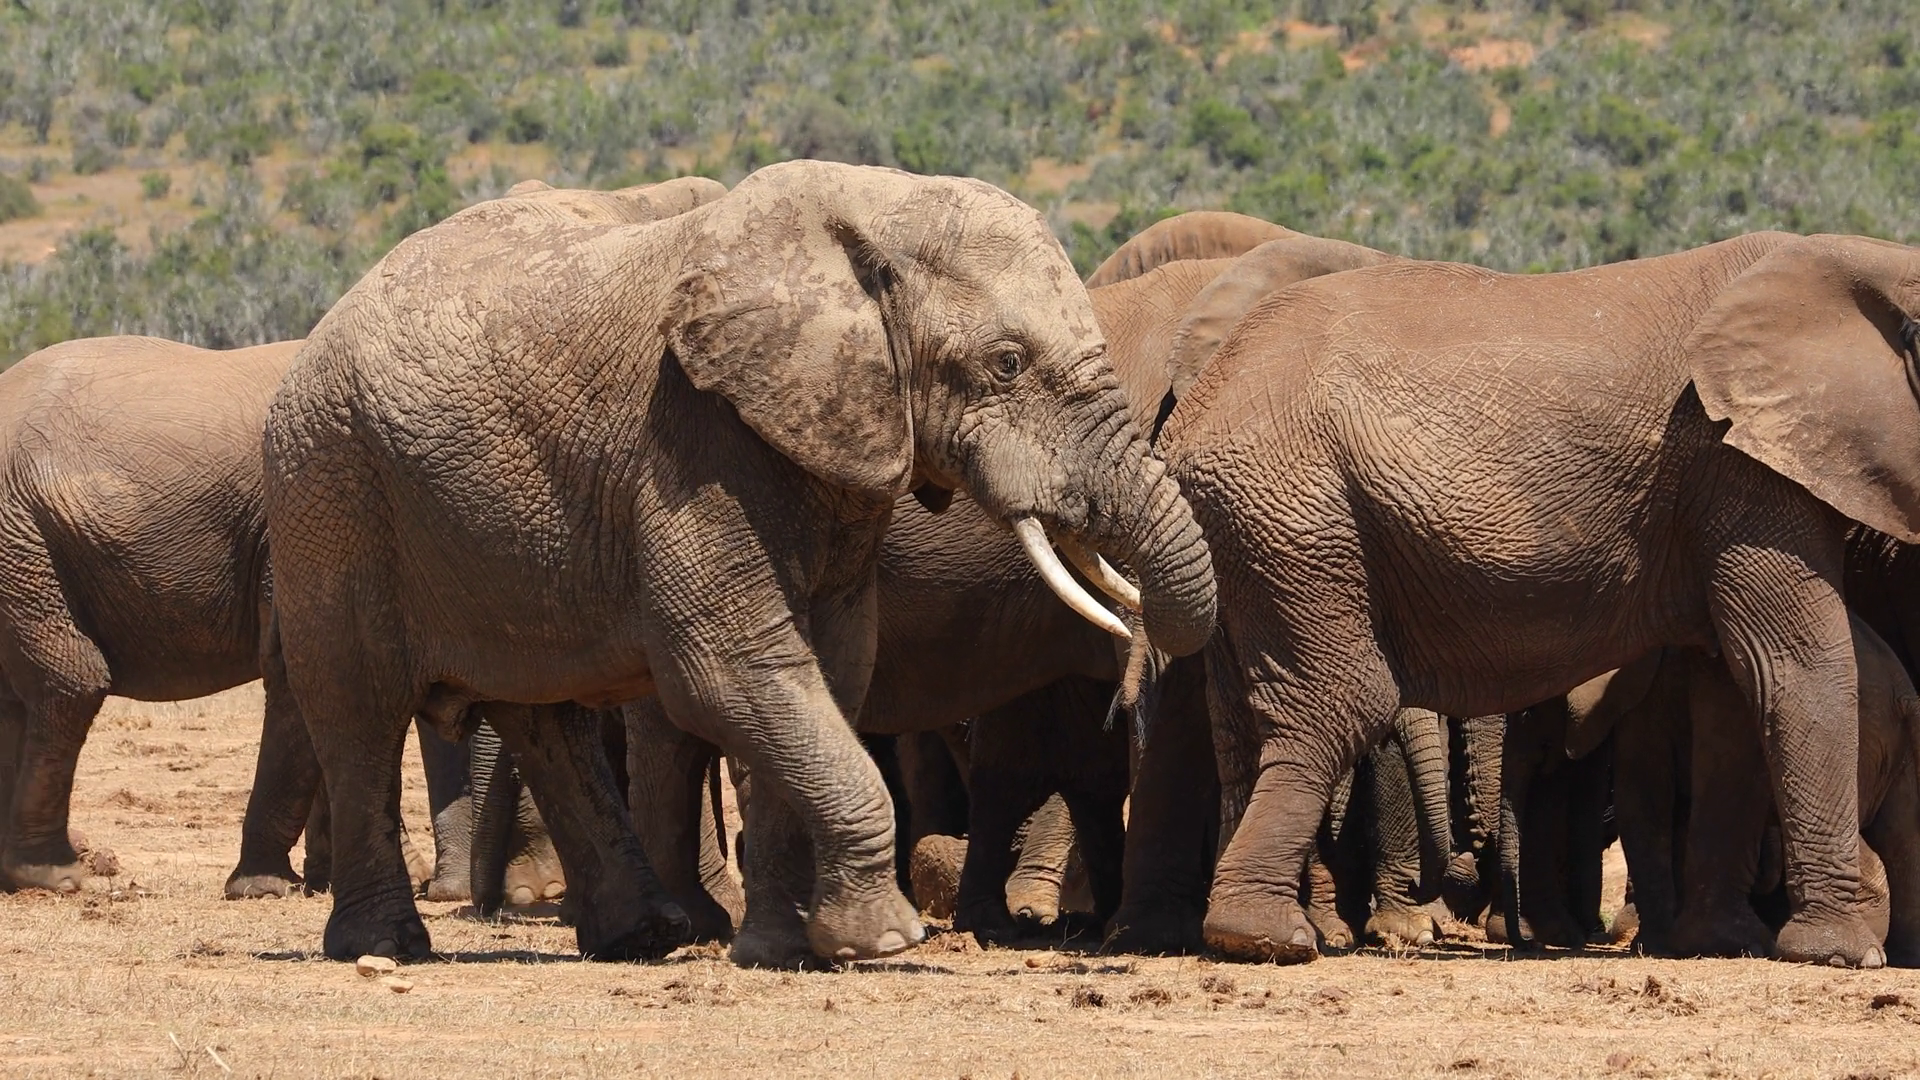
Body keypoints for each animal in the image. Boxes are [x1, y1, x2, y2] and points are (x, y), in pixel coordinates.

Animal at [259, 159, 1216, 967]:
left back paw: (643, 938)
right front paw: (882, 941)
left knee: (544, 716)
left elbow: (833, 667)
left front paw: (788, 950)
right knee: (358, 709)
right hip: (331, 487)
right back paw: (384, 947)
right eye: (1007, 363)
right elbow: (733, 665)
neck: (875, 207)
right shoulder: (694, 439)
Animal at [1166, 232, 1920, 967]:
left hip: (1249, 534)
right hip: (1301, 519)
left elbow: (1737, 692)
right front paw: (1842, 954)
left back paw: (1246, 933)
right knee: (1341, 702)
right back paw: (1268, 937)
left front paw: (1729, 943)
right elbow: (1796, 663)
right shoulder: (1741, 466)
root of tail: (1194, 412)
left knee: (1237, 722)